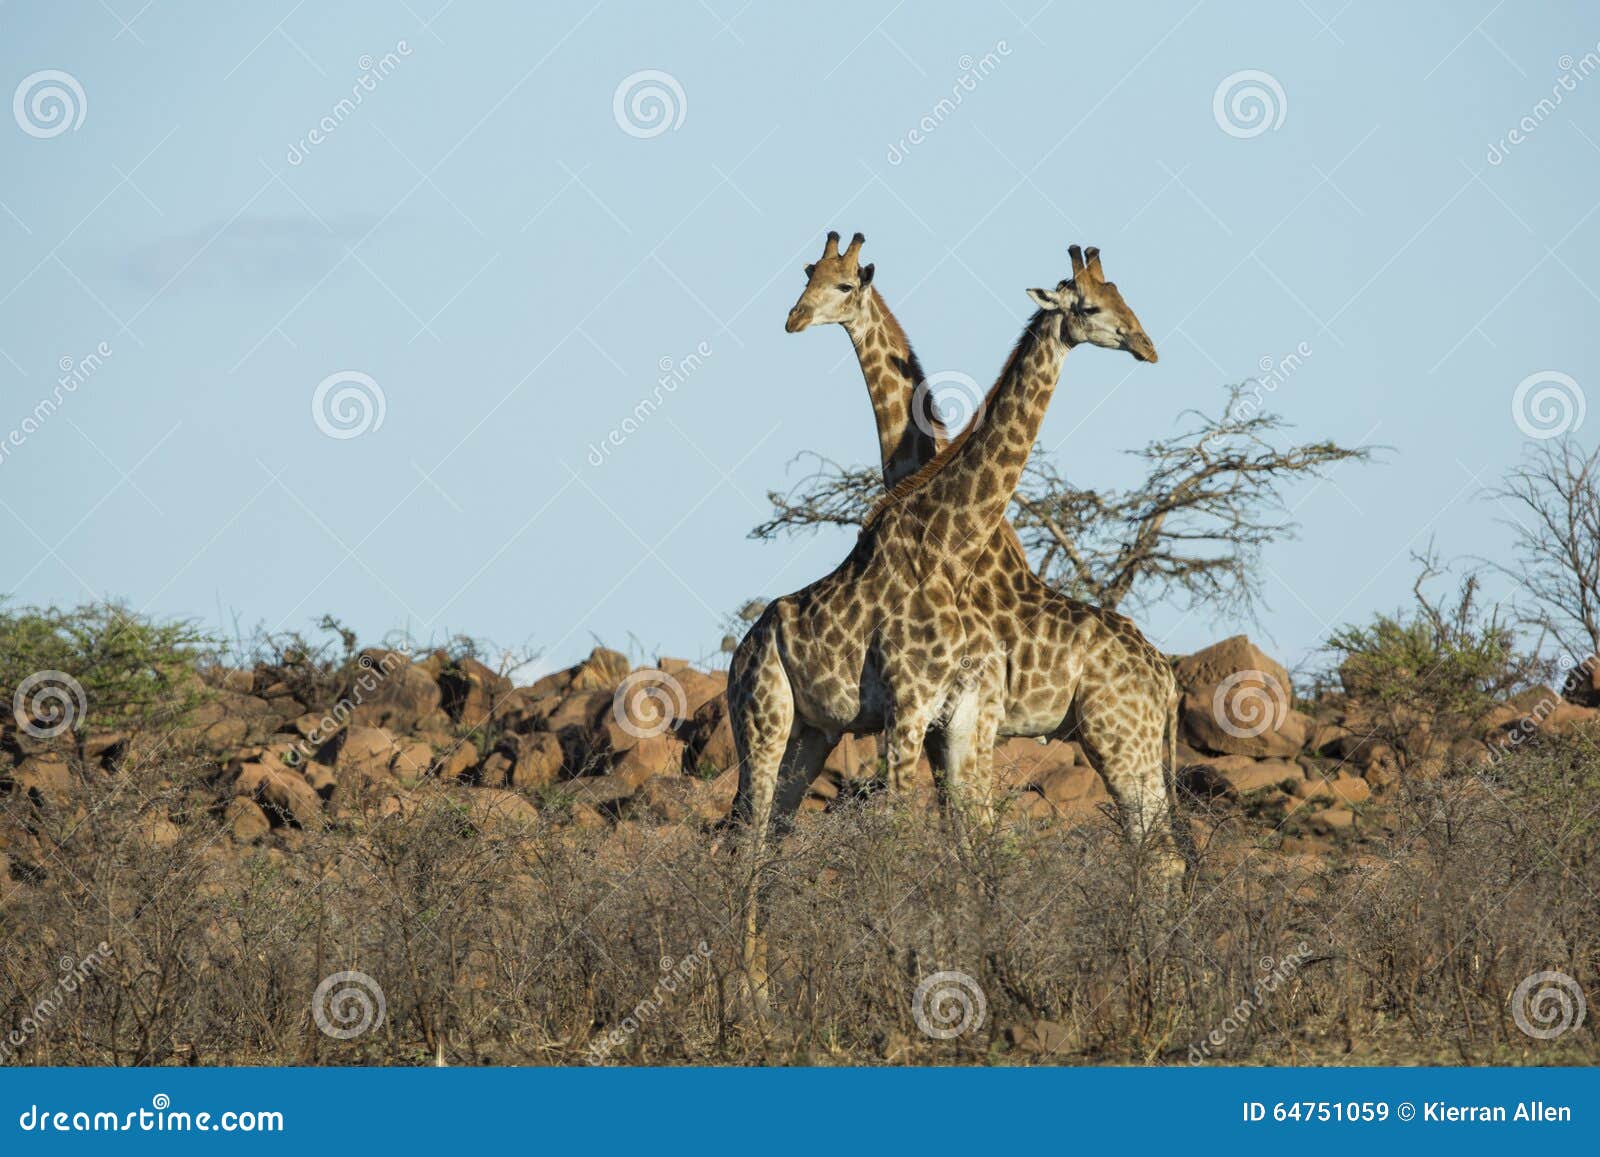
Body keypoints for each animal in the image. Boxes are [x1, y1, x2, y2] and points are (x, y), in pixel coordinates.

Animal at [782, 235, 1185, 872]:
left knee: (1158, 850)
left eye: (842, 285)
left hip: (1120, 738)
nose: (1146, 345)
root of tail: (1166, 676)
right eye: (808, 278)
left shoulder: (973, 711)